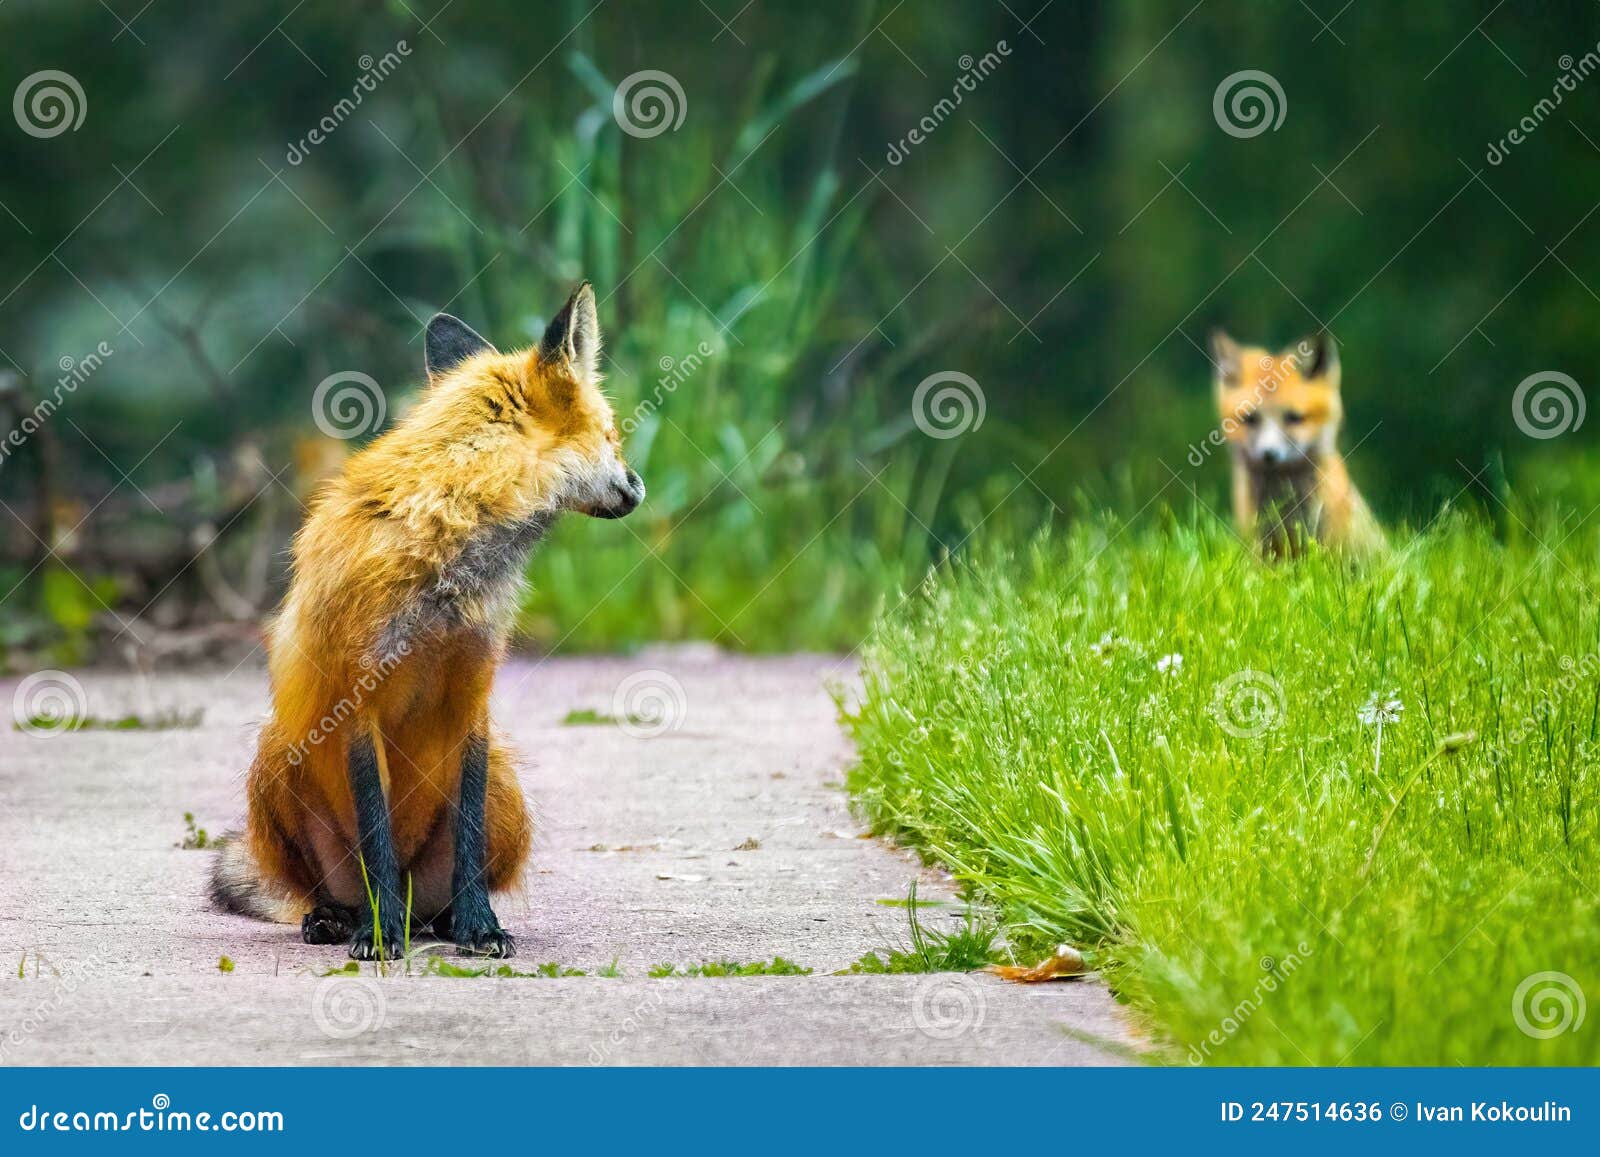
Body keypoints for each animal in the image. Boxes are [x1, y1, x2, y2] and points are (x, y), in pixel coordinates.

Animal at [212, 283, 644, 958]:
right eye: (609, 435)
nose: (638, 484)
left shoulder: (474, 692)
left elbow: (467, 836)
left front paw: (479, 927)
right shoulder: (356, 700)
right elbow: (376, 835)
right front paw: (380, 936)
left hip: (505, 784)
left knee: (443, 883)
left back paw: (439, 922)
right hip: (278, 753)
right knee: (339, 885)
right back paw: (347, 919)